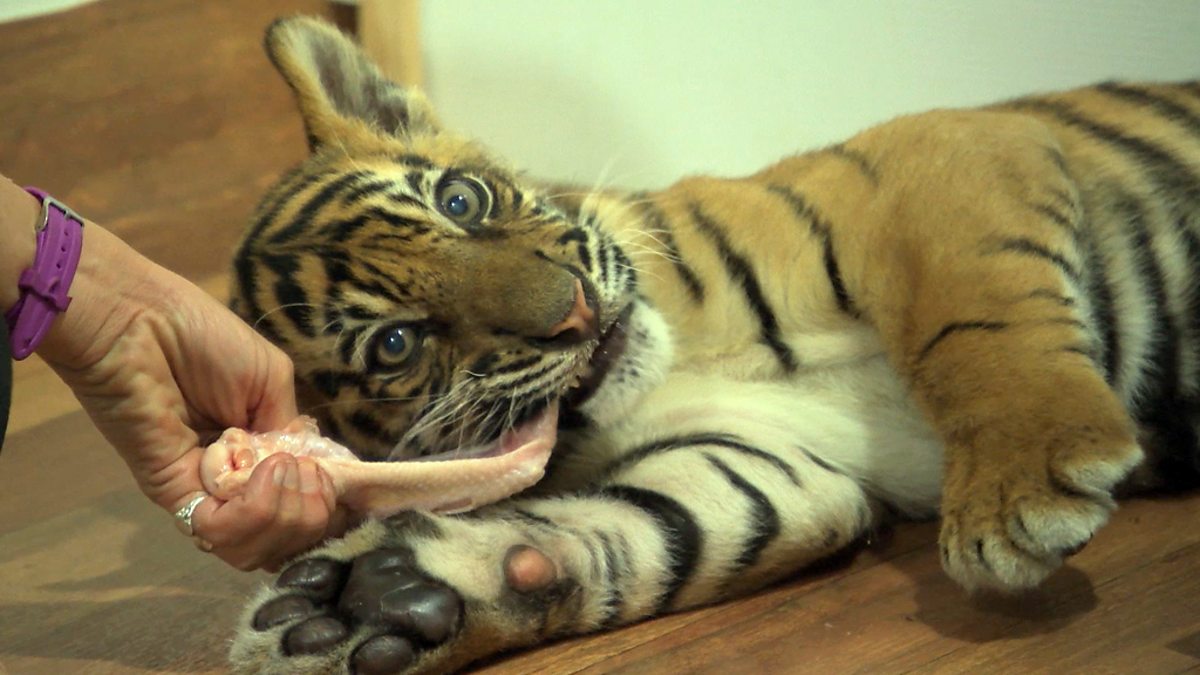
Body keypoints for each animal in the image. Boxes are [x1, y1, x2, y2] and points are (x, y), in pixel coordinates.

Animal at [226, 15, 1200, 675]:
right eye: (397, 344)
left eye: (461, 201)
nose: (573, 313)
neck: (675, 359)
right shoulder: (775, 459)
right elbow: (647, 530)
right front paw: (376, 600)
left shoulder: (942, 151)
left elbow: (973, 316)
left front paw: (1020, 485)